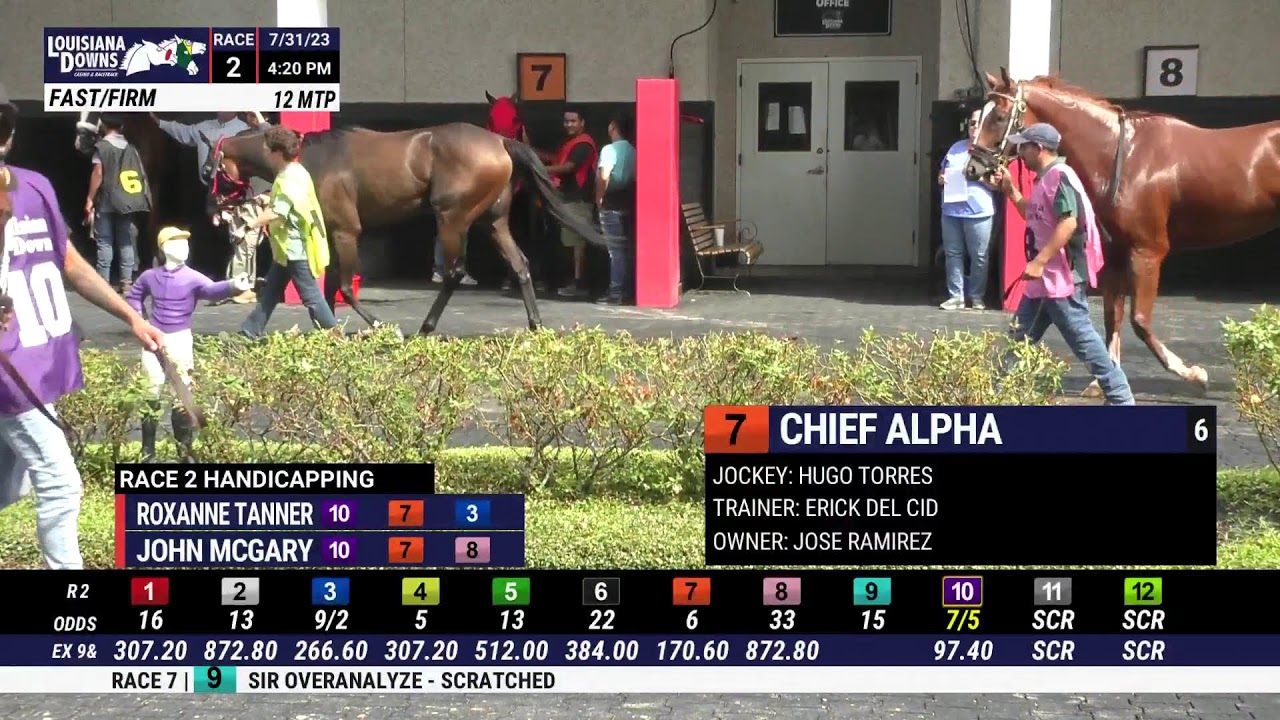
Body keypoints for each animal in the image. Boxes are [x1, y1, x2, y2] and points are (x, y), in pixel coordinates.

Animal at [202, 121, 606, 334]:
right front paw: (326, 328)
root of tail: (500, 141)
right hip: (492, 220)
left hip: (453, 216)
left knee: (454, 272)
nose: (211, 210)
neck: (311, 159)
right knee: (519, 264)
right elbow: (326, 285)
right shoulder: (329, 231)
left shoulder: (347, 230)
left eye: (208, 169)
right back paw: (535, 323)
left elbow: (344, 286)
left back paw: (426, 326)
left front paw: (378, 324)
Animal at [967, 67, 1280, 396]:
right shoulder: (1115, 252)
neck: (1125, 156)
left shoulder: (1147, 252)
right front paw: (1101, 380)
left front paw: (1192, 373)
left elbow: (1139, 321)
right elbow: (1111, 316)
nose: (972, 168)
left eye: (999, 116)